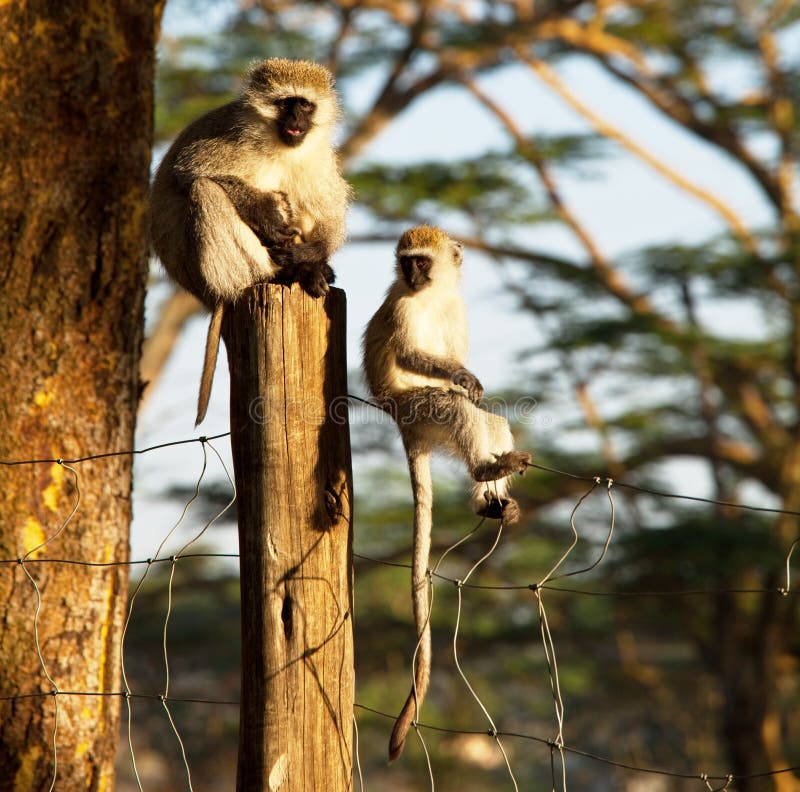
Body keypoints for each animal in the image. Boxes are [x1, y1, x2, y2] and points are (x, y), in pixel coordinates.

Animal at [149, 58, 351, 424]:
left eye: (305, 105)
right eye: (285, 104)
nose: (296, 120)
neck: (279, 147)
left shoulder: (318, 158)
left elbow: (329, 215)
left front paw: (312, 253)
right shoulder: (229, 139)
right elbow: (189, 172)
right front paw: (264, 211)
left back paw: (311, 268)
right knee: (205, 190)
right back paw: (280, 273)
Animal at [362, 225, 531, 761]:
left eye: (421, 261)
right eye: (406, 261)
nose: (412, 274)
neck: (430, 296)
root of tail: (399, 421)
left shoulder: (454, 308)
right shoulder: (402, 308)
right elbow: (413, 356)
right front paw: (461, 377)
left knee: (489, 419)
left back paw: (492, 499)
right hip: (419, 409)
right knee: (456, 409)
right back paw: (485, 466)